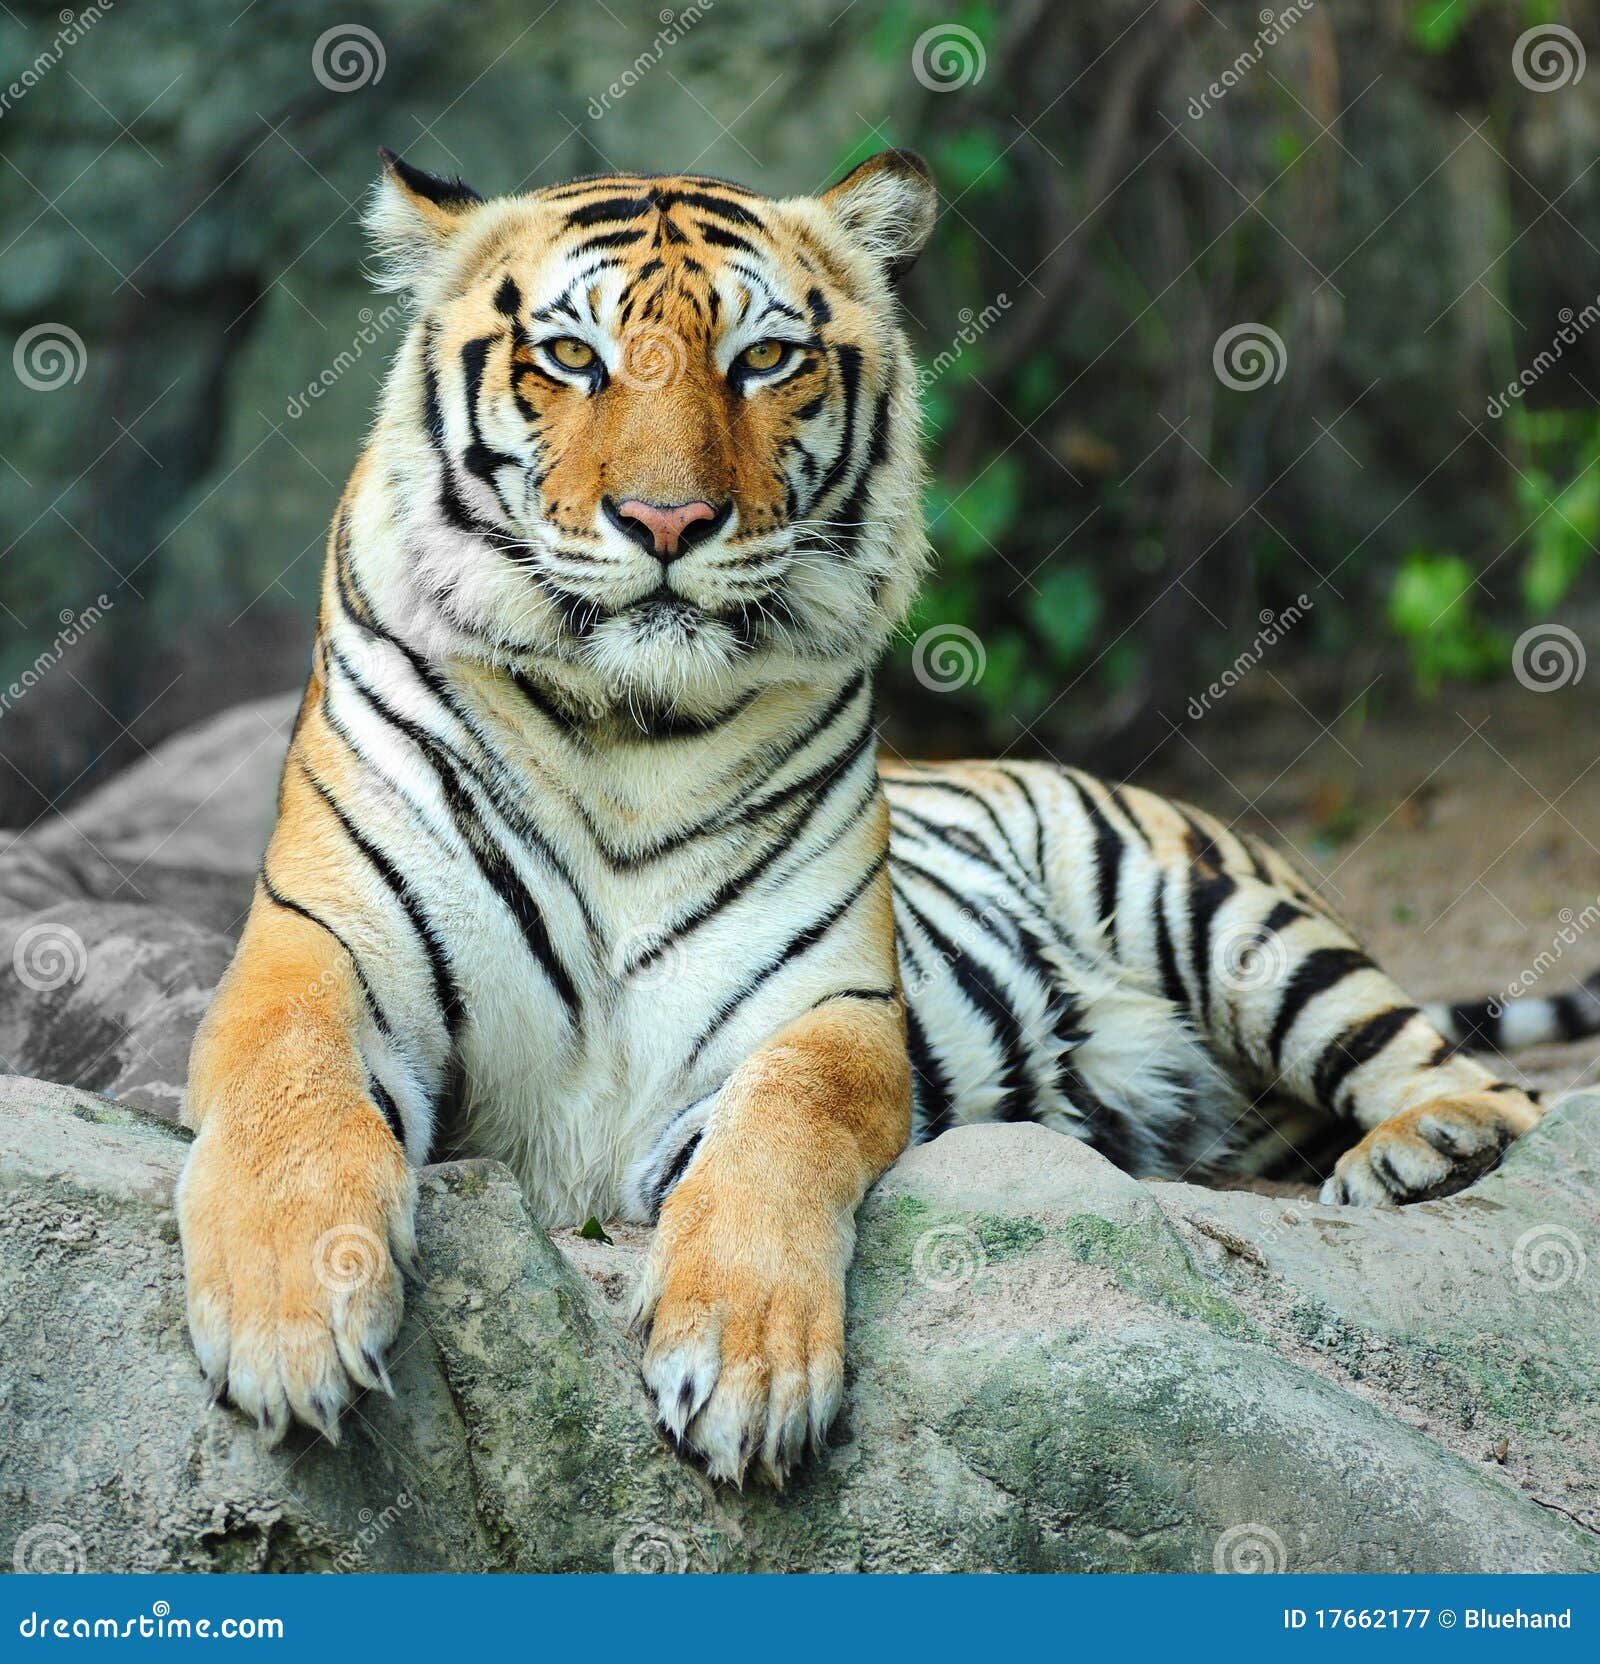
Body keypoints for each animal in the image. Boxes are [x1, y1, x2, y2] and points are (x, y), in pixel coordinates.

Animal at [176, 147, 1597, 1487]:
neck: (626, 732)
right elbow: (288, 1090)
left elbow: (775, 1136)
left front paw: (746, 1363)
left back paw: (1429, 1149)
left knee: (1476, 1079)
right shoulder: (316, 947)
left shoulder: (823, 1007)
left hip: (1224, 919)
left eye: (763, 359)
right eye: (571, 356)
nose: (667, 520)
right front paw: (291, 1318)